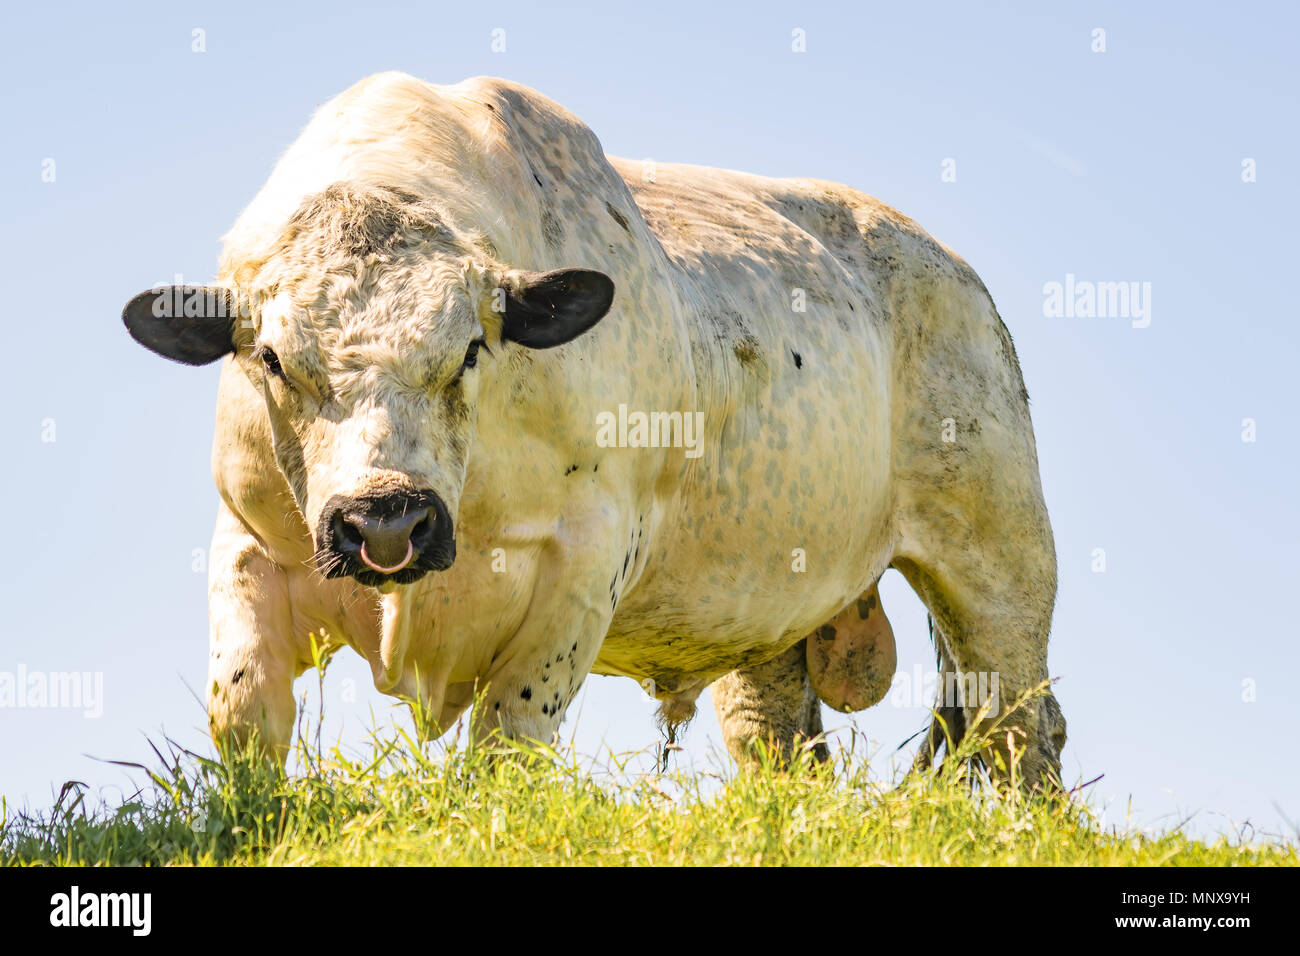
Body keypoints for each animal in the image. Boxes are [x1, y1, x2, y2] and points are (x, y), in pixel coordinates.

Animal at [122, 72, 1066, 785]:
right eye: (273, 359)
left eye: (471, 349)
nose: (386, 519)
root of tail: (941, 261)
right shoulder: (250, 543)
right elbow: (245, 713)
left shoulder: (584, 564)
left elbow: (508, 737)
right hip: (769, 610)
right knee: (782, 740)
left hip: (999, 560)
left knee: (1021, 726)